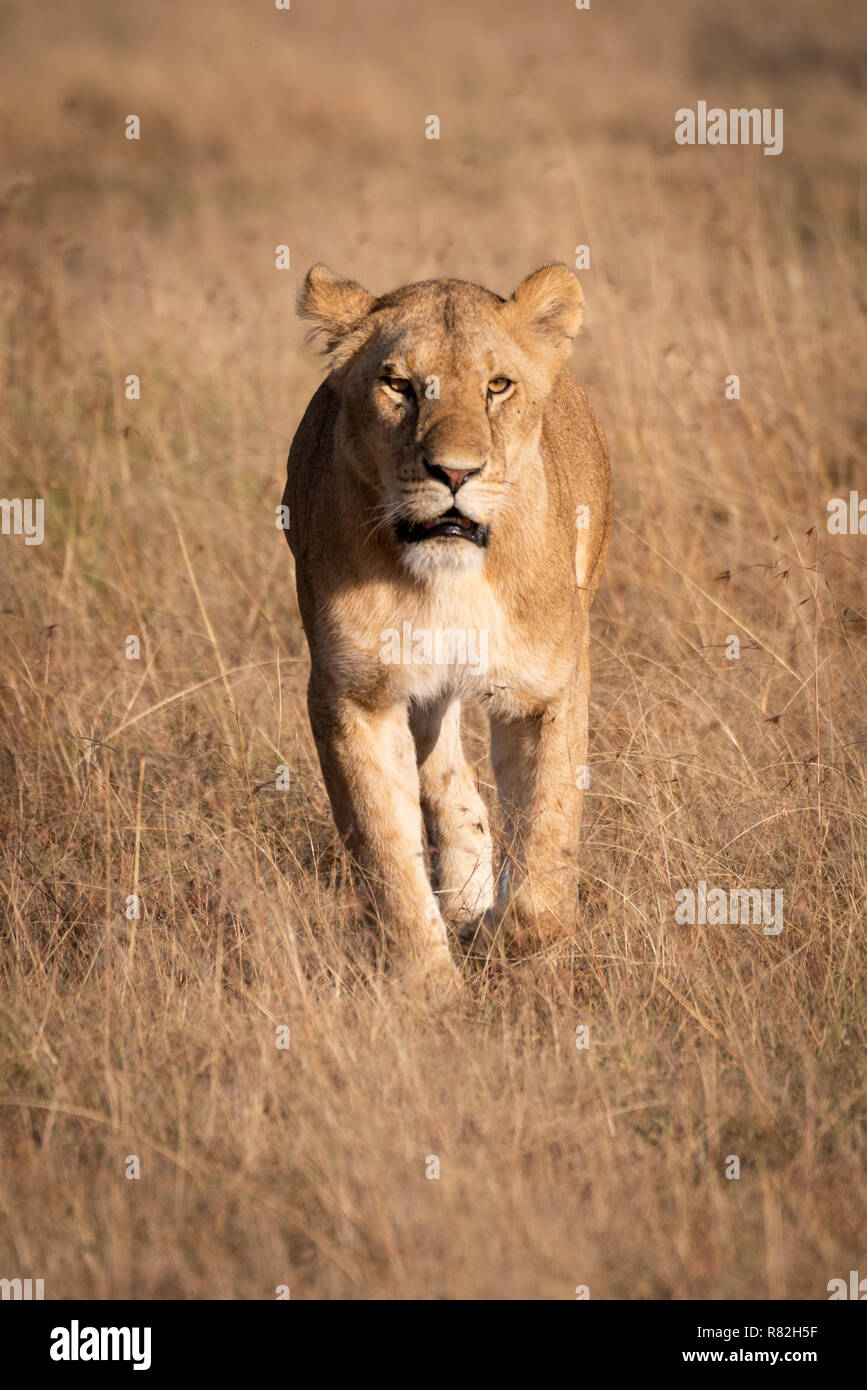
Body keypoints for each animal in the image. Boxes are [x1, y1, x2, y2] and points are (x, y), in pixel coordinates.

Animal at [282, 263, 612, 992]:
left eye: (497, 386)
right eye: (399, 385)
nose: (455, 472)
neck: (450, 580)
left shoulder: (548, 688)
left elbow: (547, 841)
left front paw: (519, 954)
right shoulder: (352, 693)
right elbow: (385, 847)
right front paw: (428, 988)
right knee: (447, 783)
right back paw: (464, 895)